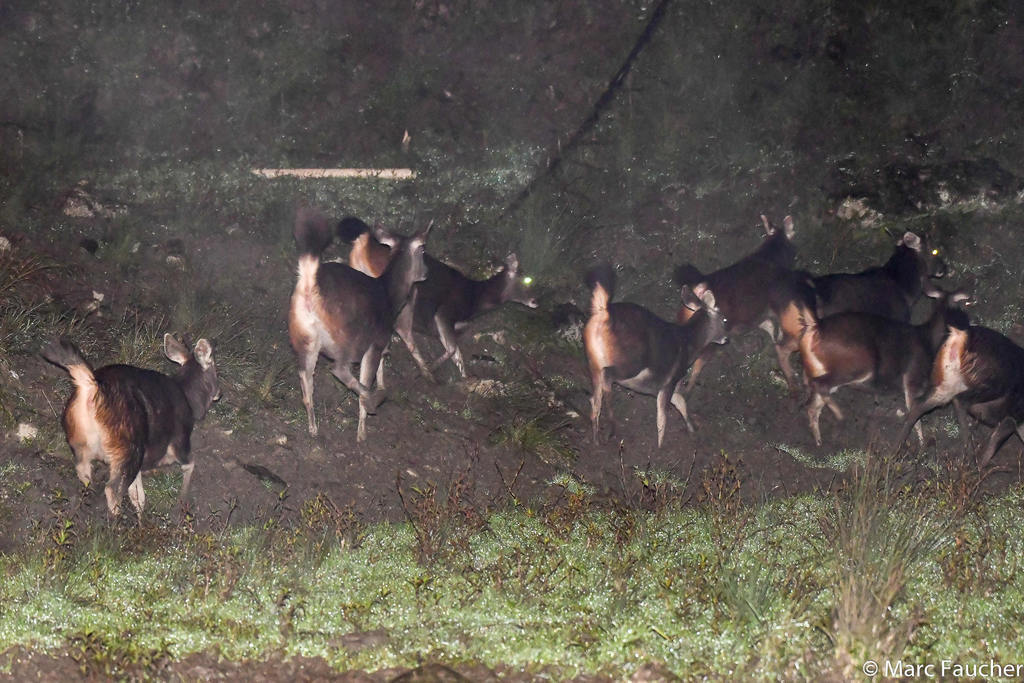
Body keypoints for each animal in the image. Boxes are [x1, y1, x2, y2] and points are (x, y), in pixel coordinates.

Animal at [41, 334, 219, 521]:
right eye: (215, 369)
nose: (219, 393)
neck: (189, 401)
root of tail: (91, 386)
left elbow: (138, 496)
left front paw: (142, 518)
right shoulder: (180, 440)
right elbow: (189, 465)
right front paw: (183, 502)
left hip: (79, 440)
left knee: (84, 473)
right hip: (127, 446)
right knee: (112, 489)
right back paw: (117, 521)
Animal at [288, 209, 430, 442]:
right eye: (423, 250)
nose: (426, 272)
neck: (390, 297)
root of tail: (309, 282)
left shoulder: (381, 342)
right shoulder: (375, 341)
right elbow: (368, 374)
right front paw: (362, 430)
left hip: (303, 334)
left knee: (305, 378)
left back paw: (313, 428)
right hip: (344, 337)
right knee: (339, 369)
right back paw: (370, 405)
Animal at [337, 216, 539, 380]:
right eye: (527, 280)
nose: (536, 301)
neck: (474, 300)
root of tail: (363, 239)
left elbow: (458, 356)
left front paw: (466, 380)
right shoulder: (445, 312)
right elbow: (452, 349)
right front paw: (430, 370)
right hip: (405, 292)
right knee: (401, 328)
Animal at [584, 264, 728, 448]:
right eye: (724, 319)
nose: (726, 338)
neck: (689, 344)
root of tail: (603, 312)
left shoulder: (665, 386)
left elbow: (681, 402)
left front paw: (692, 429)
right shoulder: (670, 380)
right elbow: (662, 418)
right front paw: (660, 447)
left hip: (593, 361)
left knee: (594, 400)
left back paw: (596, 440)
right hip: (630, 362)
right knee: (607, 378)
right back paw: (612, 428)